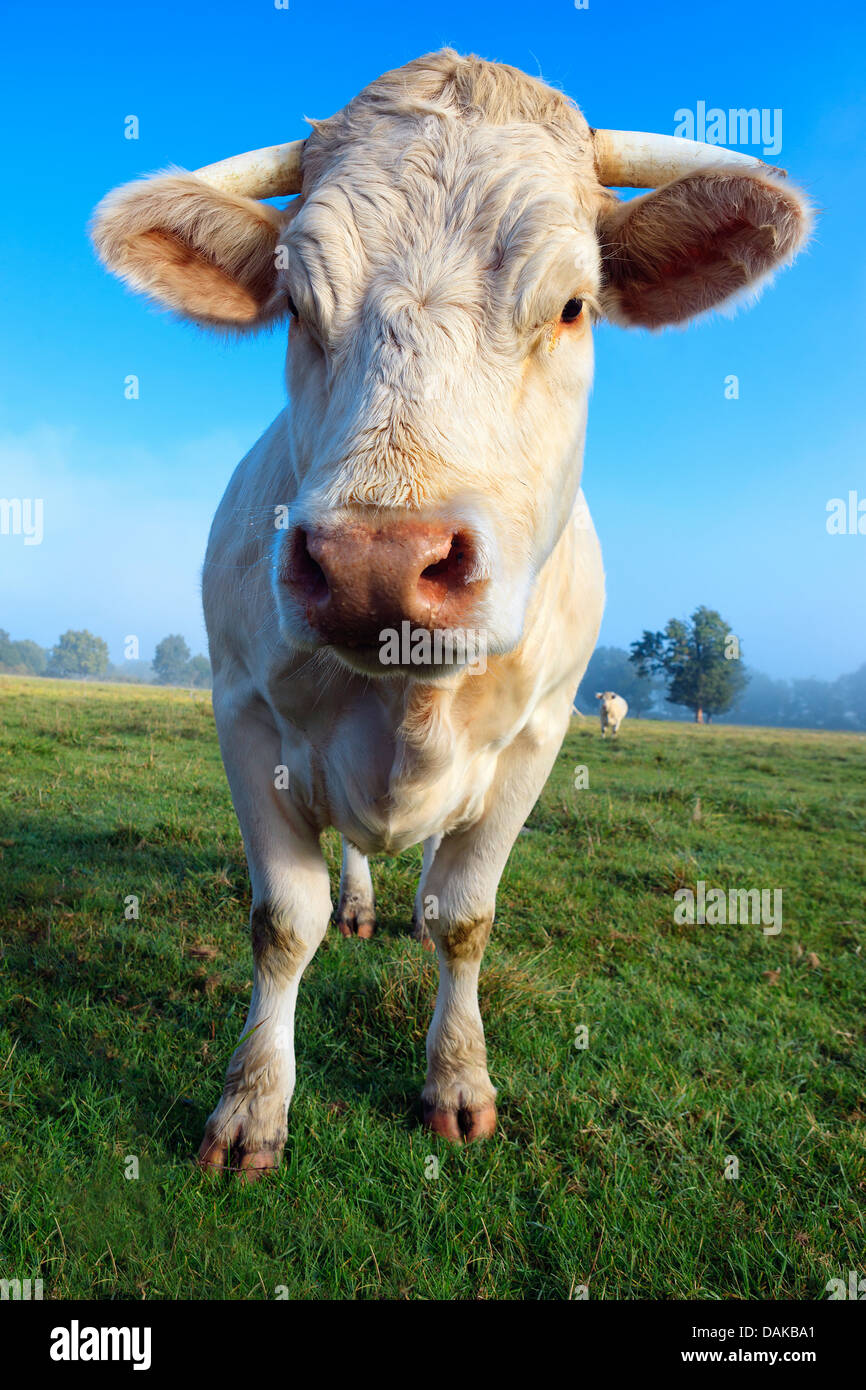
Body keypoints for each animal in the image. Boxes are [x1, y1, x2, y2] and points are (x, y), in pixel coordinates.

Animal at [92, 49, 810, 1178]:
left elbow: (464, 918)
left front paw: (458, 1082)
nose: (374, 564)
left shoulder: (539, 737)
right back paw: (356, 900)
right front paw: (253, 1105)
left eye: (572, 305)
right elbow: (280, 921)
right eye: (297, 308)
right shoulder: (243, 713)